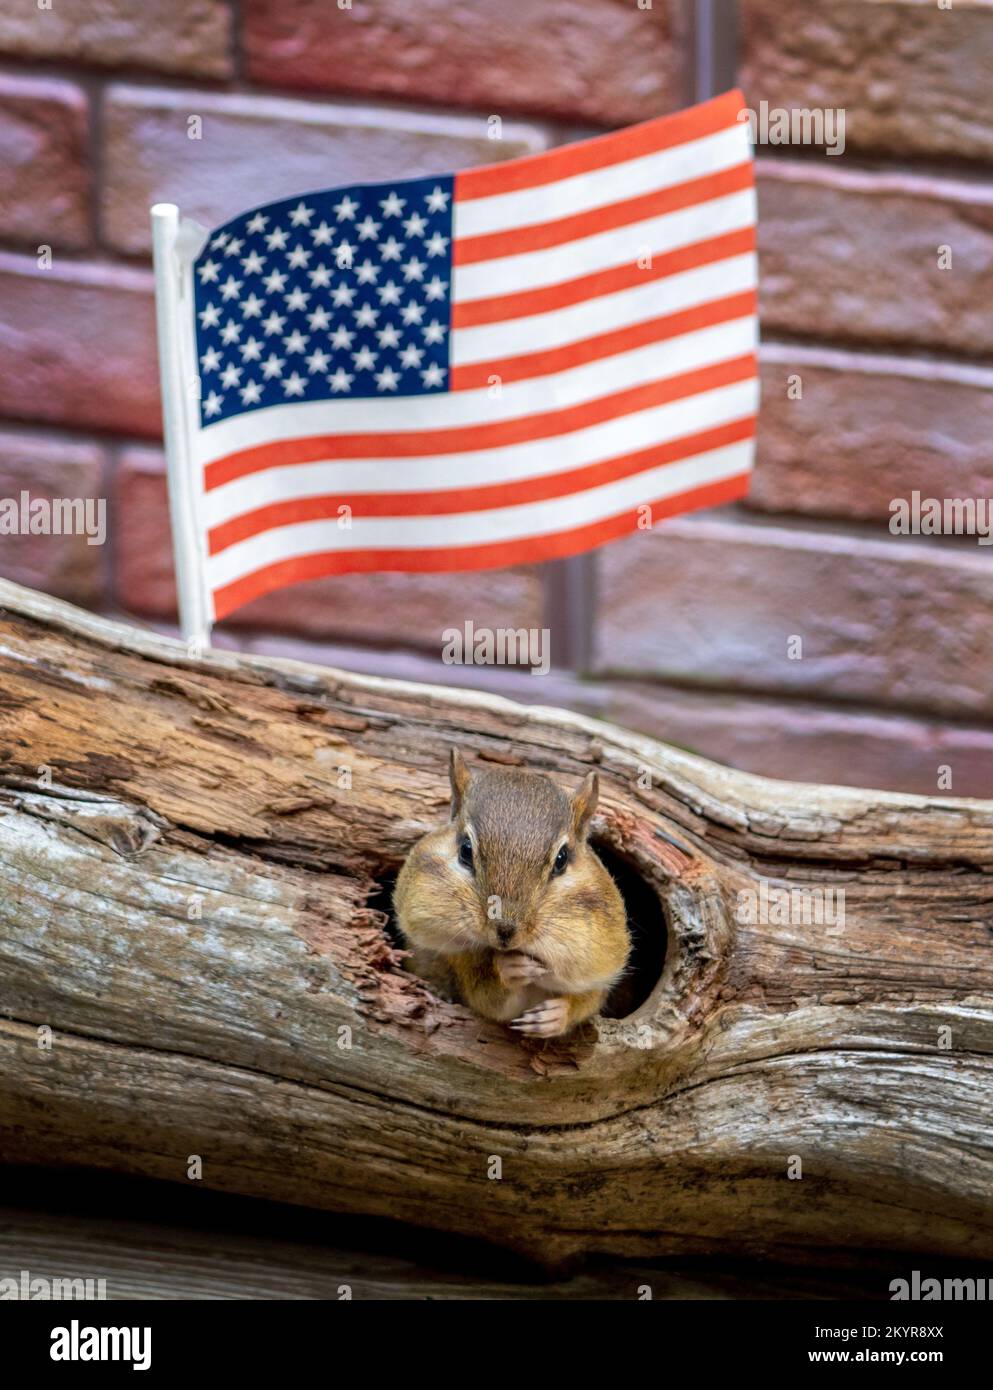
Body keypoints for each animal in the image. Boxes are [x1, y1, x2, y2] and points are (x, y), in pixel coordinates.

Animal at [393, 749, 630, 1038]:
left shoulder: (597, 974)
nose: (505, 930)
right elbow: (489, 999)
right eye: (465, 850)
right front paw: (508, 969)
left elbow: (586, 1002)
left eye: (561, 859)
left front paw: (555, 1014)